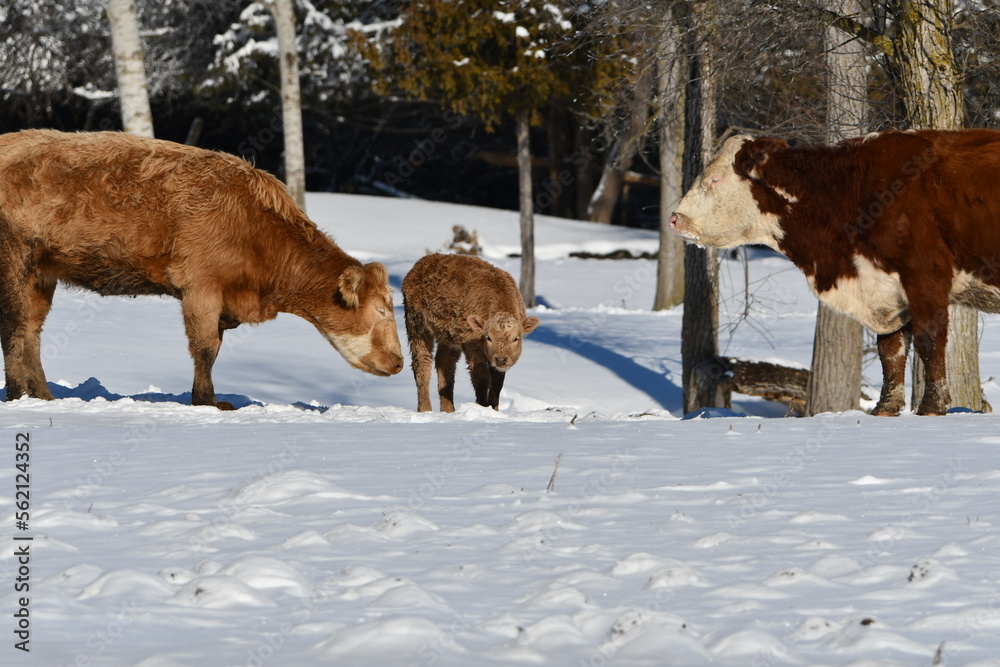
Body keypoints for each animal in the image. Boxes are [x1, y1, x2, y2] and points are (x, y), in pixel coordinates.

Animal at [0, 129, 404, 409]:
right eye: (382, 311)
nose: (400, 362)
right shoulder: (201, 286)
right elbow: (205, 348)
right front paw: (208, 403)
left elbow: (214, 347)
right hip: (14, 261)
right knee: (14, 327)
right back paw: (20, 395)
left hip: (42, 272)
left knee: (32, 329)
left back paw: (43, 395)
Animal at [669, 129, 1000, 416]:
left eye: (715, 178)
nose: (674, 219)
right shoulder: (885, 291)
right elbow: (890, 351)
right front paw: (885, 409)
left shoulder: (925, 276)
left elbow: (928, 341)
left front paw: (932, 407)